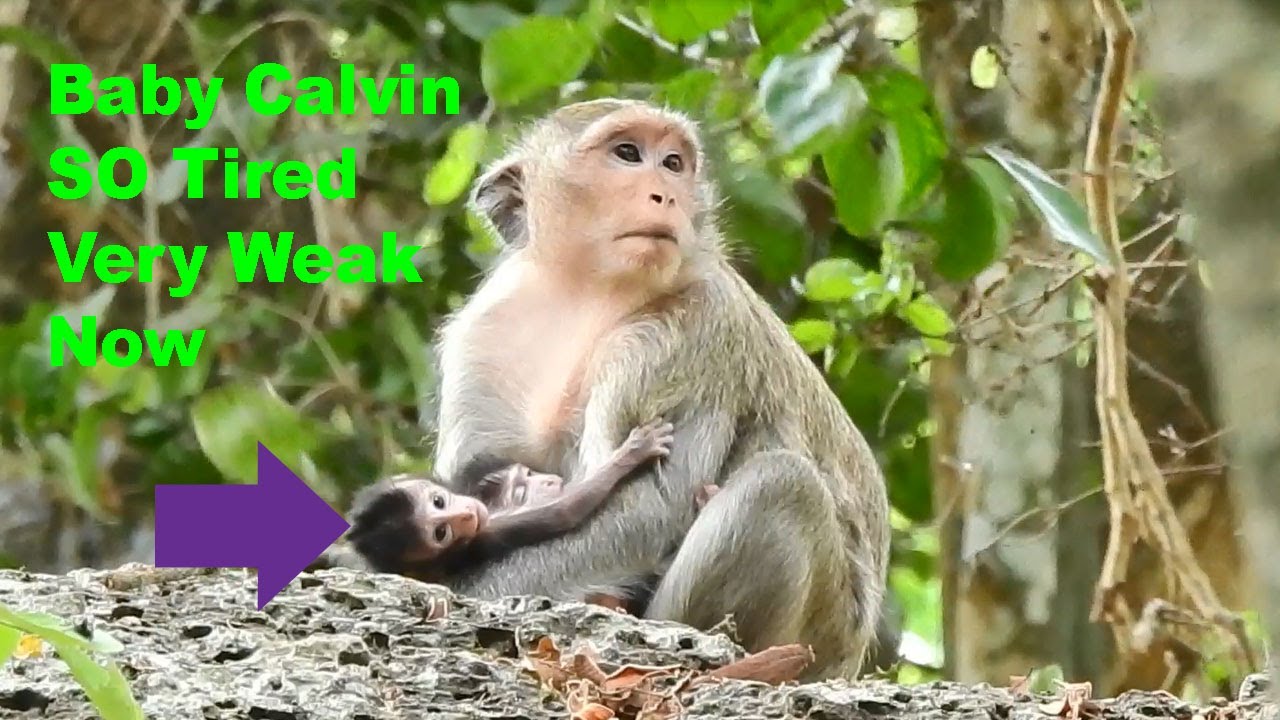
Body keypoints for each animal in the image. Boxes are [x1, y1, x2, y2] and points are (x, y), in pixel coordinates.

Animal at [345, 419, 674, 584]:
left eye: (439, 501)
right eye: (441, 532)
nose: (466, 515)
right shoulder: (487, 532)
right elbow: (564, 511)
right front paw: (633, 452)